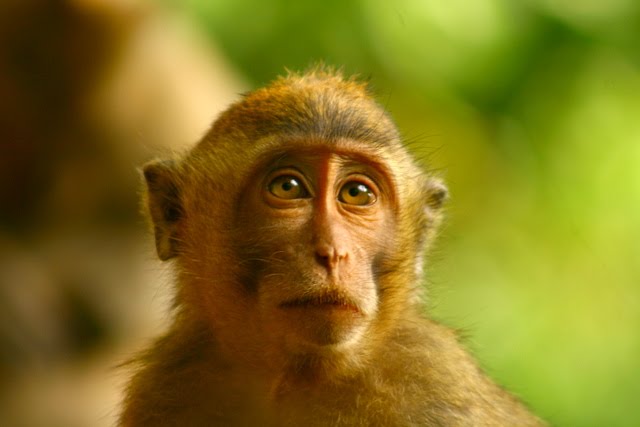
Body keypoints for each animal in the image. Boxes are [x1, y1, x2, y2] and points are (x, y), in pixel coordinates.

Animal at [119, 68, 546, 426]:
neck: (289, 380)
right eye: (288, 187)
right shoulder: (166, 384)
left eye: (357, 193)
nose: (332, 253)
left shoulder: (434, 381)